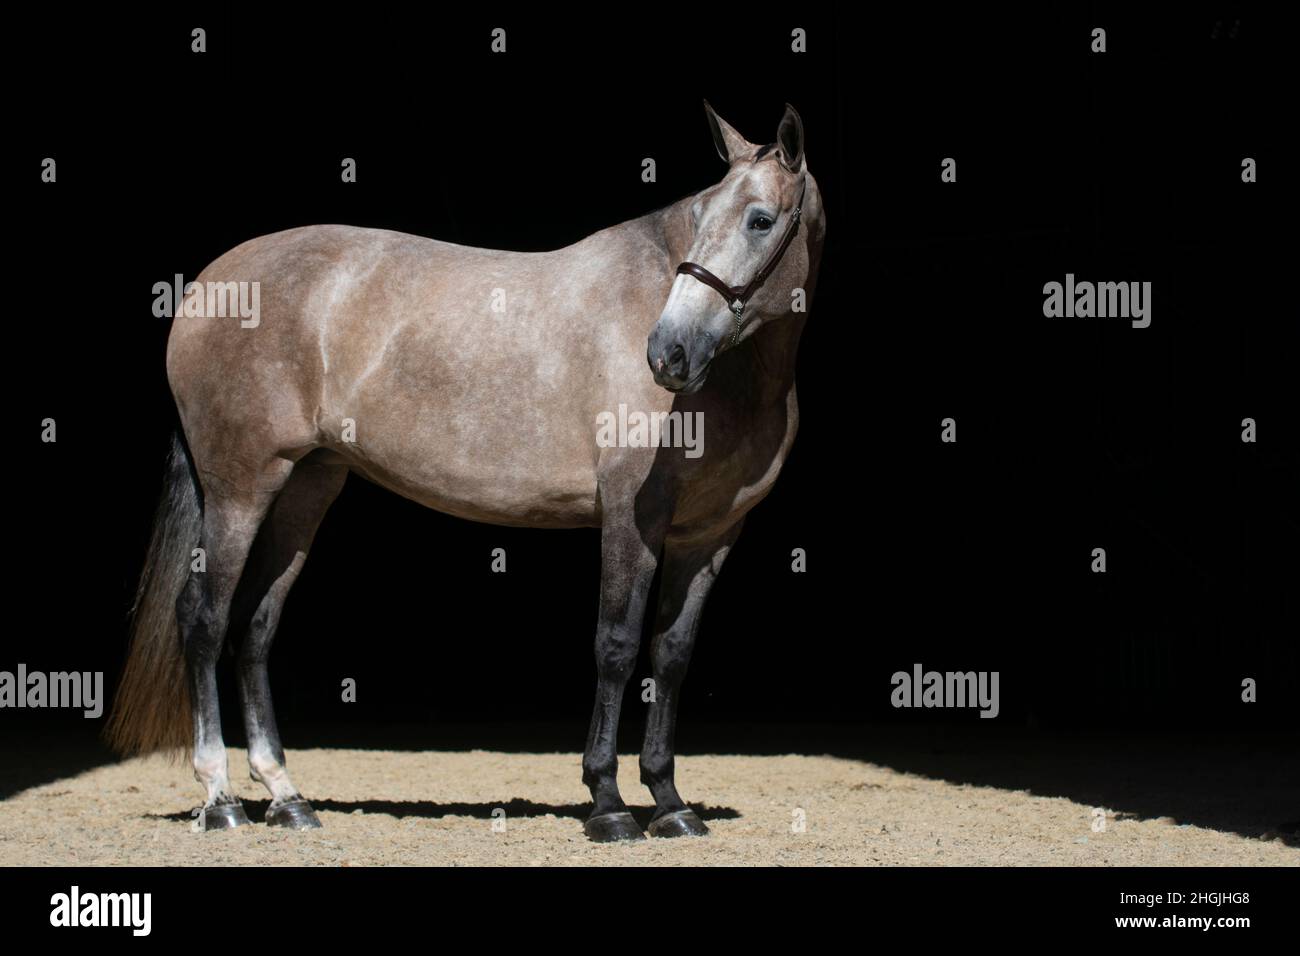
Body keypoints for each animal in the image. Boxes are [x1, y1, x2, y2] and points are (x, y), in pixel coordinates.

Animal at [105, 101, 825, 842]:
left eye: (759, 220)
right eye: (704, 212)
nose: (668, 352)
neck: (737, 377)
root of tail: (208, 284)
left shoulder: (708, 534)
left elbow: (672, 656)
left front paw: (671, 803)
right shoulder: (633, 515)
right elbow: (618, 647)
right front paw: (608, 802)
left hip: (305, 488)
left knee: (254, 627)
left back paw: (286, 795)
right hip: (241, 489)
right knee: (204, 619)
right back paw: (220, 798)